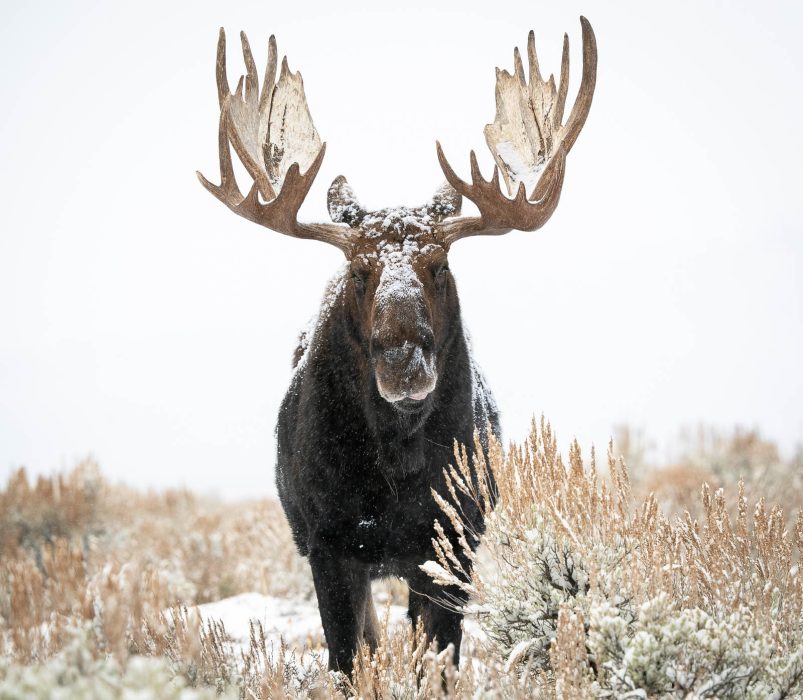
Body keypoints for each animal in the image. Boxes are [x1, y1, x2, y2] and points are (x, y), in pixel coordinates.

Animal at [198, 17, 596, 675]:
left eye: (440, 264)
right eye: (359, 270)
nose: (403, 361)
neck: (396, 466)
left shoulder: (452, 541)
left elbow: (439, 655)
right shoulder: (329, 541)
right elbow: (347, 657)